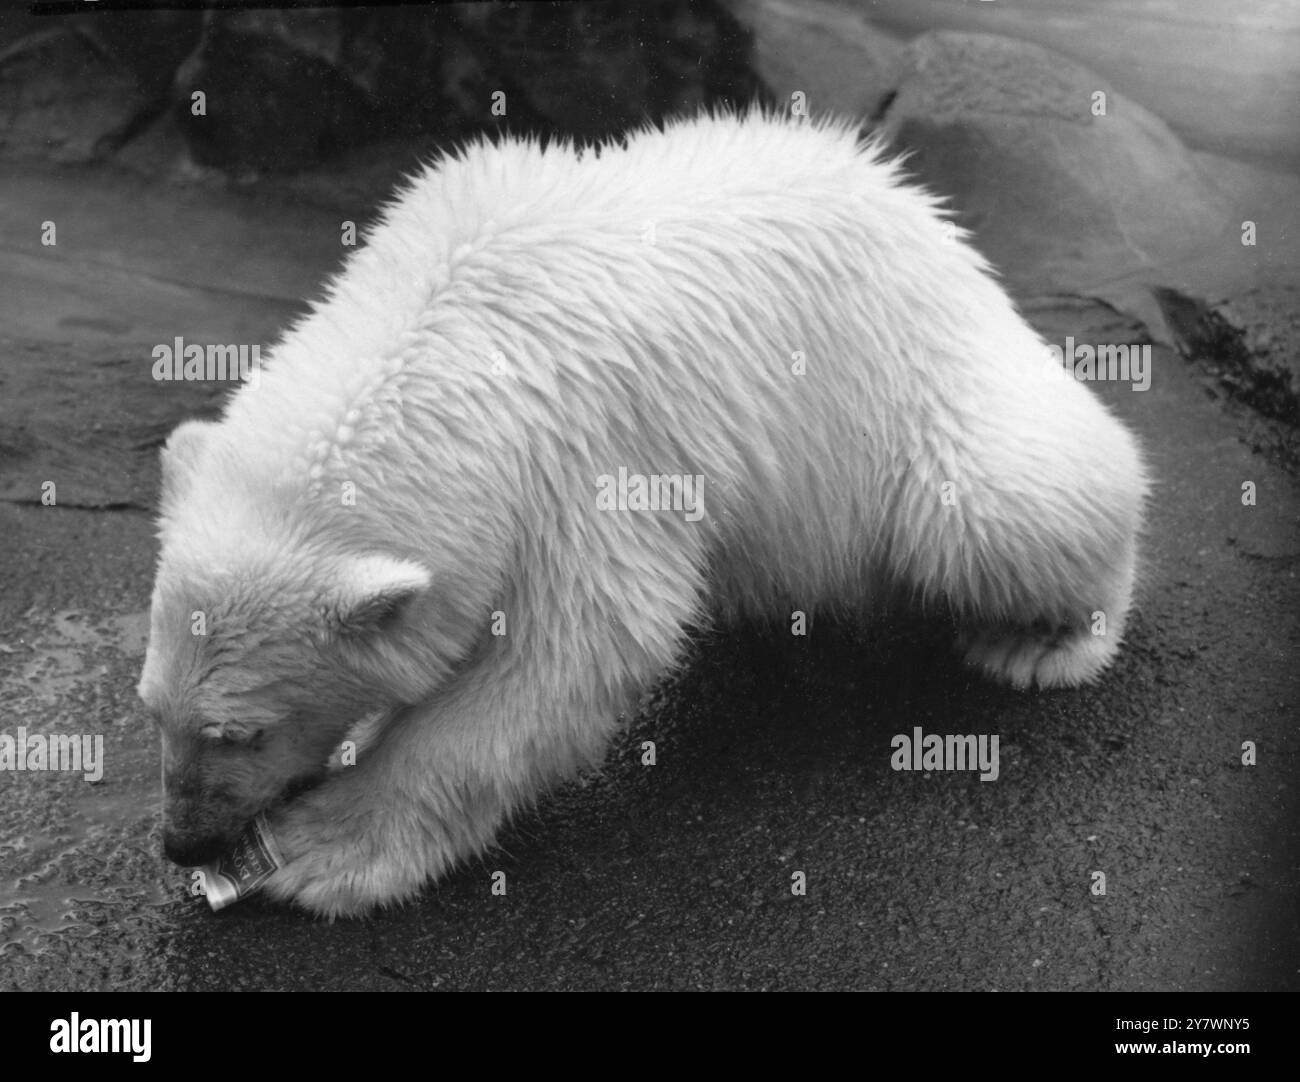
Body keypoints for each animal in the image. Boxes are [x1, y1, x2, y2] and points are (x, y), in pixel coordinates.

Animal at [137, 110, 1149, 918]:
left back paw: (1046, 639)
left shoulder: (580, 452)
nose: (183, 842)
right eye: (152, 709)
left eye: (240, 731)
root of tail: (944, 233)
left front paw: (321, 851)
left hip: (922, 398)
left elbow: (577, 650)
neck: (448, 330)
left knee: (998, 503)